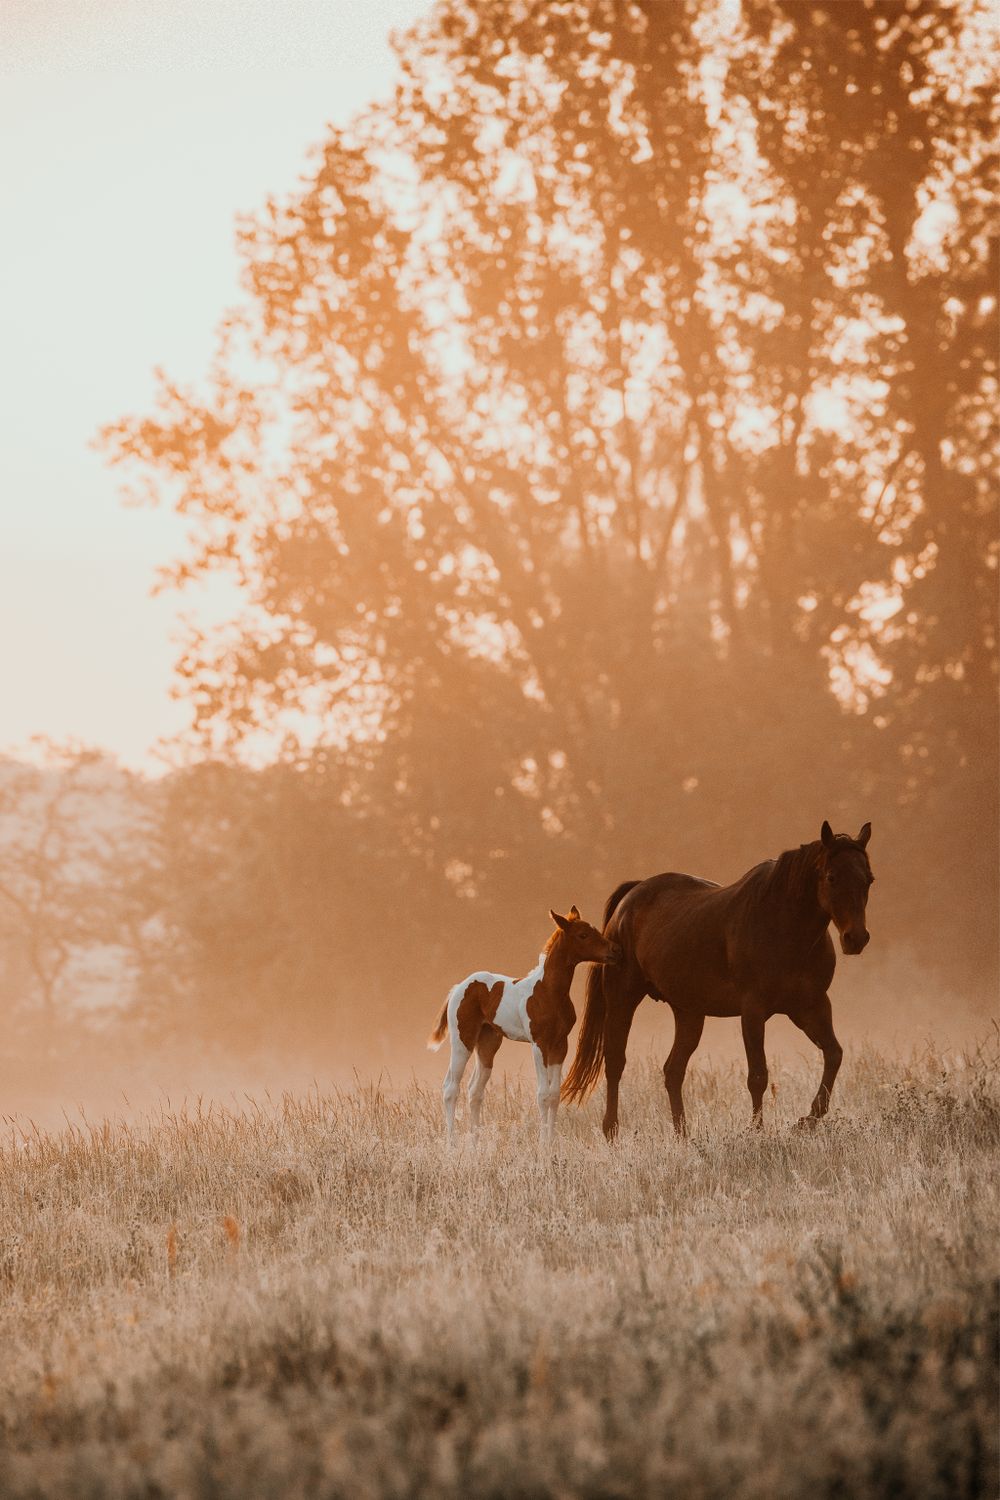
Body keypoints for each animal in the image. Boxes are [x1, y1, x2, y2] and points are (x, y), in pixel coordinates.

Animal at [428, 906, 619, 1142]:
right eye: (583, 935)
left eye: (594, 930)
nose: (615, 950)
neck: (548, 992)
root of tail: (458, 988)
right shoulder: (539, 1044)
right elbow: (543, 1094)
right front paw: (543, 1144)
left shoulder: (560, 1045)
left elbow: (555, 1094)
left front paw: (551, 1142)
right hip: (462, 1040)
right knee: (450, 1088)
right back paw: (452, 1143)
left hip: (488, 1043)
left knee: (475, 1091)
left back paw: (475, 1141)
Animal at [561, 822, 875, 1137]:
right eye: (832, 877)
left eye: (869, 880)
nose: (856, 938)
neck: (784, 927)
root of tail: (629, 900)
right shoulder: (753, 1010)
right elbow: (758, 1075)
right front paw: (757, 1130)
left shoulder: (811, 1007)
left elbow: (834, 1054)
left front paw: (807, 1119)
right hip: (623, 998)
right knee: (615, 1062)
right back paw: (611, 1130)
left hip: (688, 1012)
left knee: (673, 1071)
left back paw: (683, 1134)